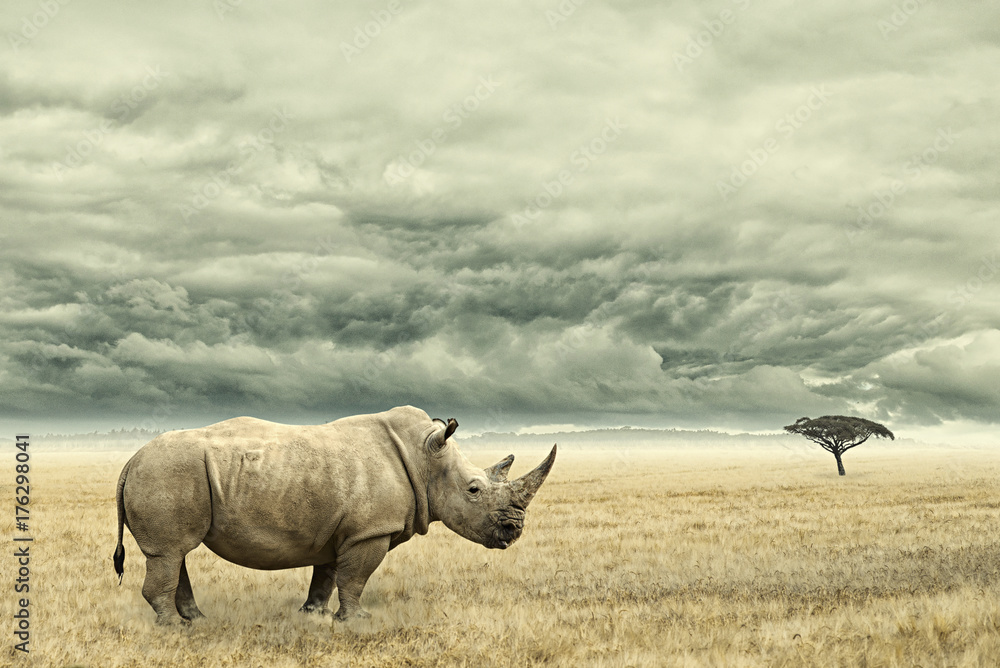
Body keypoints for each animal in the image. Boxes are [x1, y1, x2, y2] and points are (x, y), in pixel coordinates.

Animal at [112, 406, 556, 624]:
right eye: (474, 490)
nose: (514, 529)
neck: (426, 457)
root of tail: (131, 459)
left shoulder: (338, 529)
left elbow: (326, 576)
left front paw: (313, 616)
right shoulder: (370, 531)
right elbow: (355, 577)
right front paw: (357, 620)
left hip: (169, 472)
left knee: (175, 554)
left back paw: (196, 620)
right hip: (168, 470)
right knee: (170, 552)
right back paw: (173, 628)